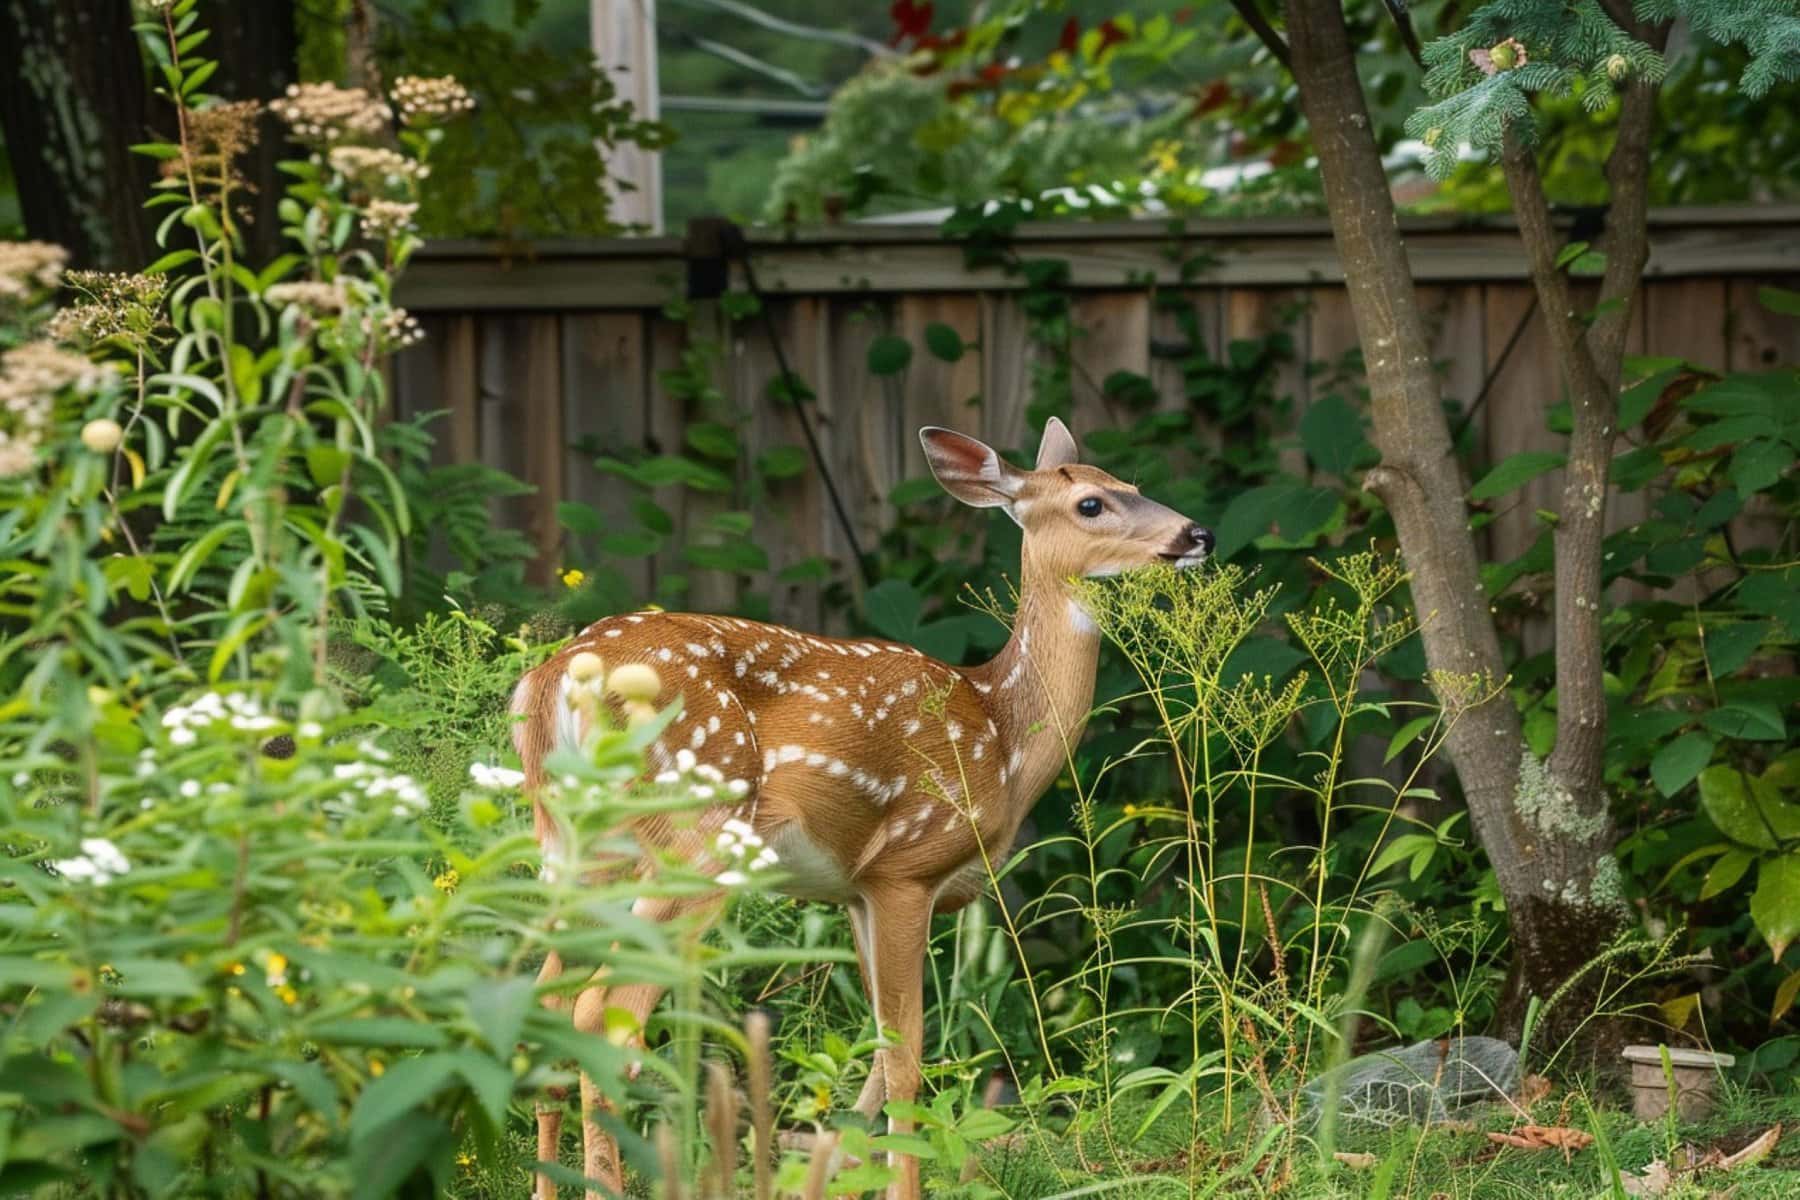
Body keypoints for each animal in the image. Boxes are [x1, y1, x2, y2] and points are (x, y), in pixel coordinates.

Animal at [512, 418, 1214, 1199]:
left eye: (1130, 483)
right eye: (1092, 503)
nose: (1197, 534)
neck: (1003, 737)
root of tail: (549, 681)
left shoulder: (851, 890)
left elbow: (876, 1057)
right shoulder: (905, 867)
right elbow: (908, 1061)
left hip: (578, 854)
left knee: (543, 1005)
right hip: (693, 839)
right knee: (602, 1015)